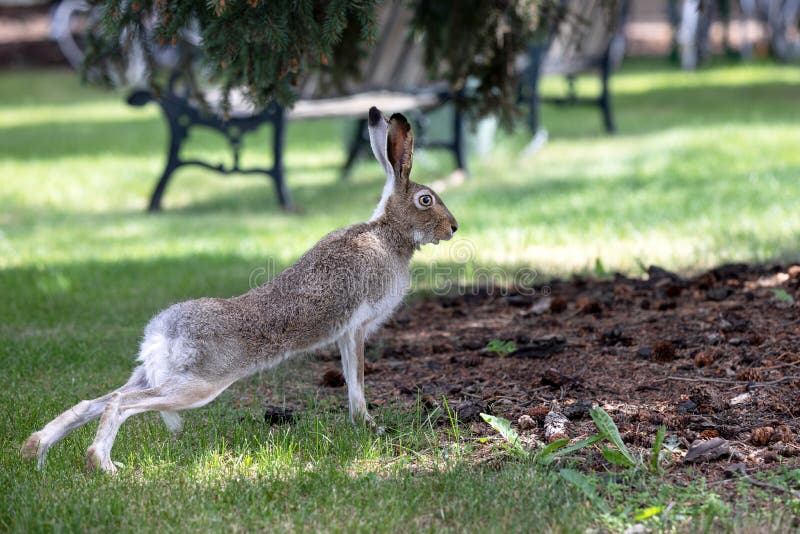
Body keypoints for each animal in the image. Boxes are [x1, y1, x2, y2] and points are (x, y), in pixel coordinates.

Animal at [21, 106, 458, 473]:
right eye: (426, 200)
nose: (454, 228)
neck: (388, 233)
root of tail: (162, 333)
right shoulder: (355, 329)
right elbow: (357, 382)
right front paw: (370, 426)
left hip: (151, 375)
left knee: (91, 403)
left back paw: (35, 452)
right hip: (199, 384)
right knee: (119, 403)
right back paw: (102, 464)